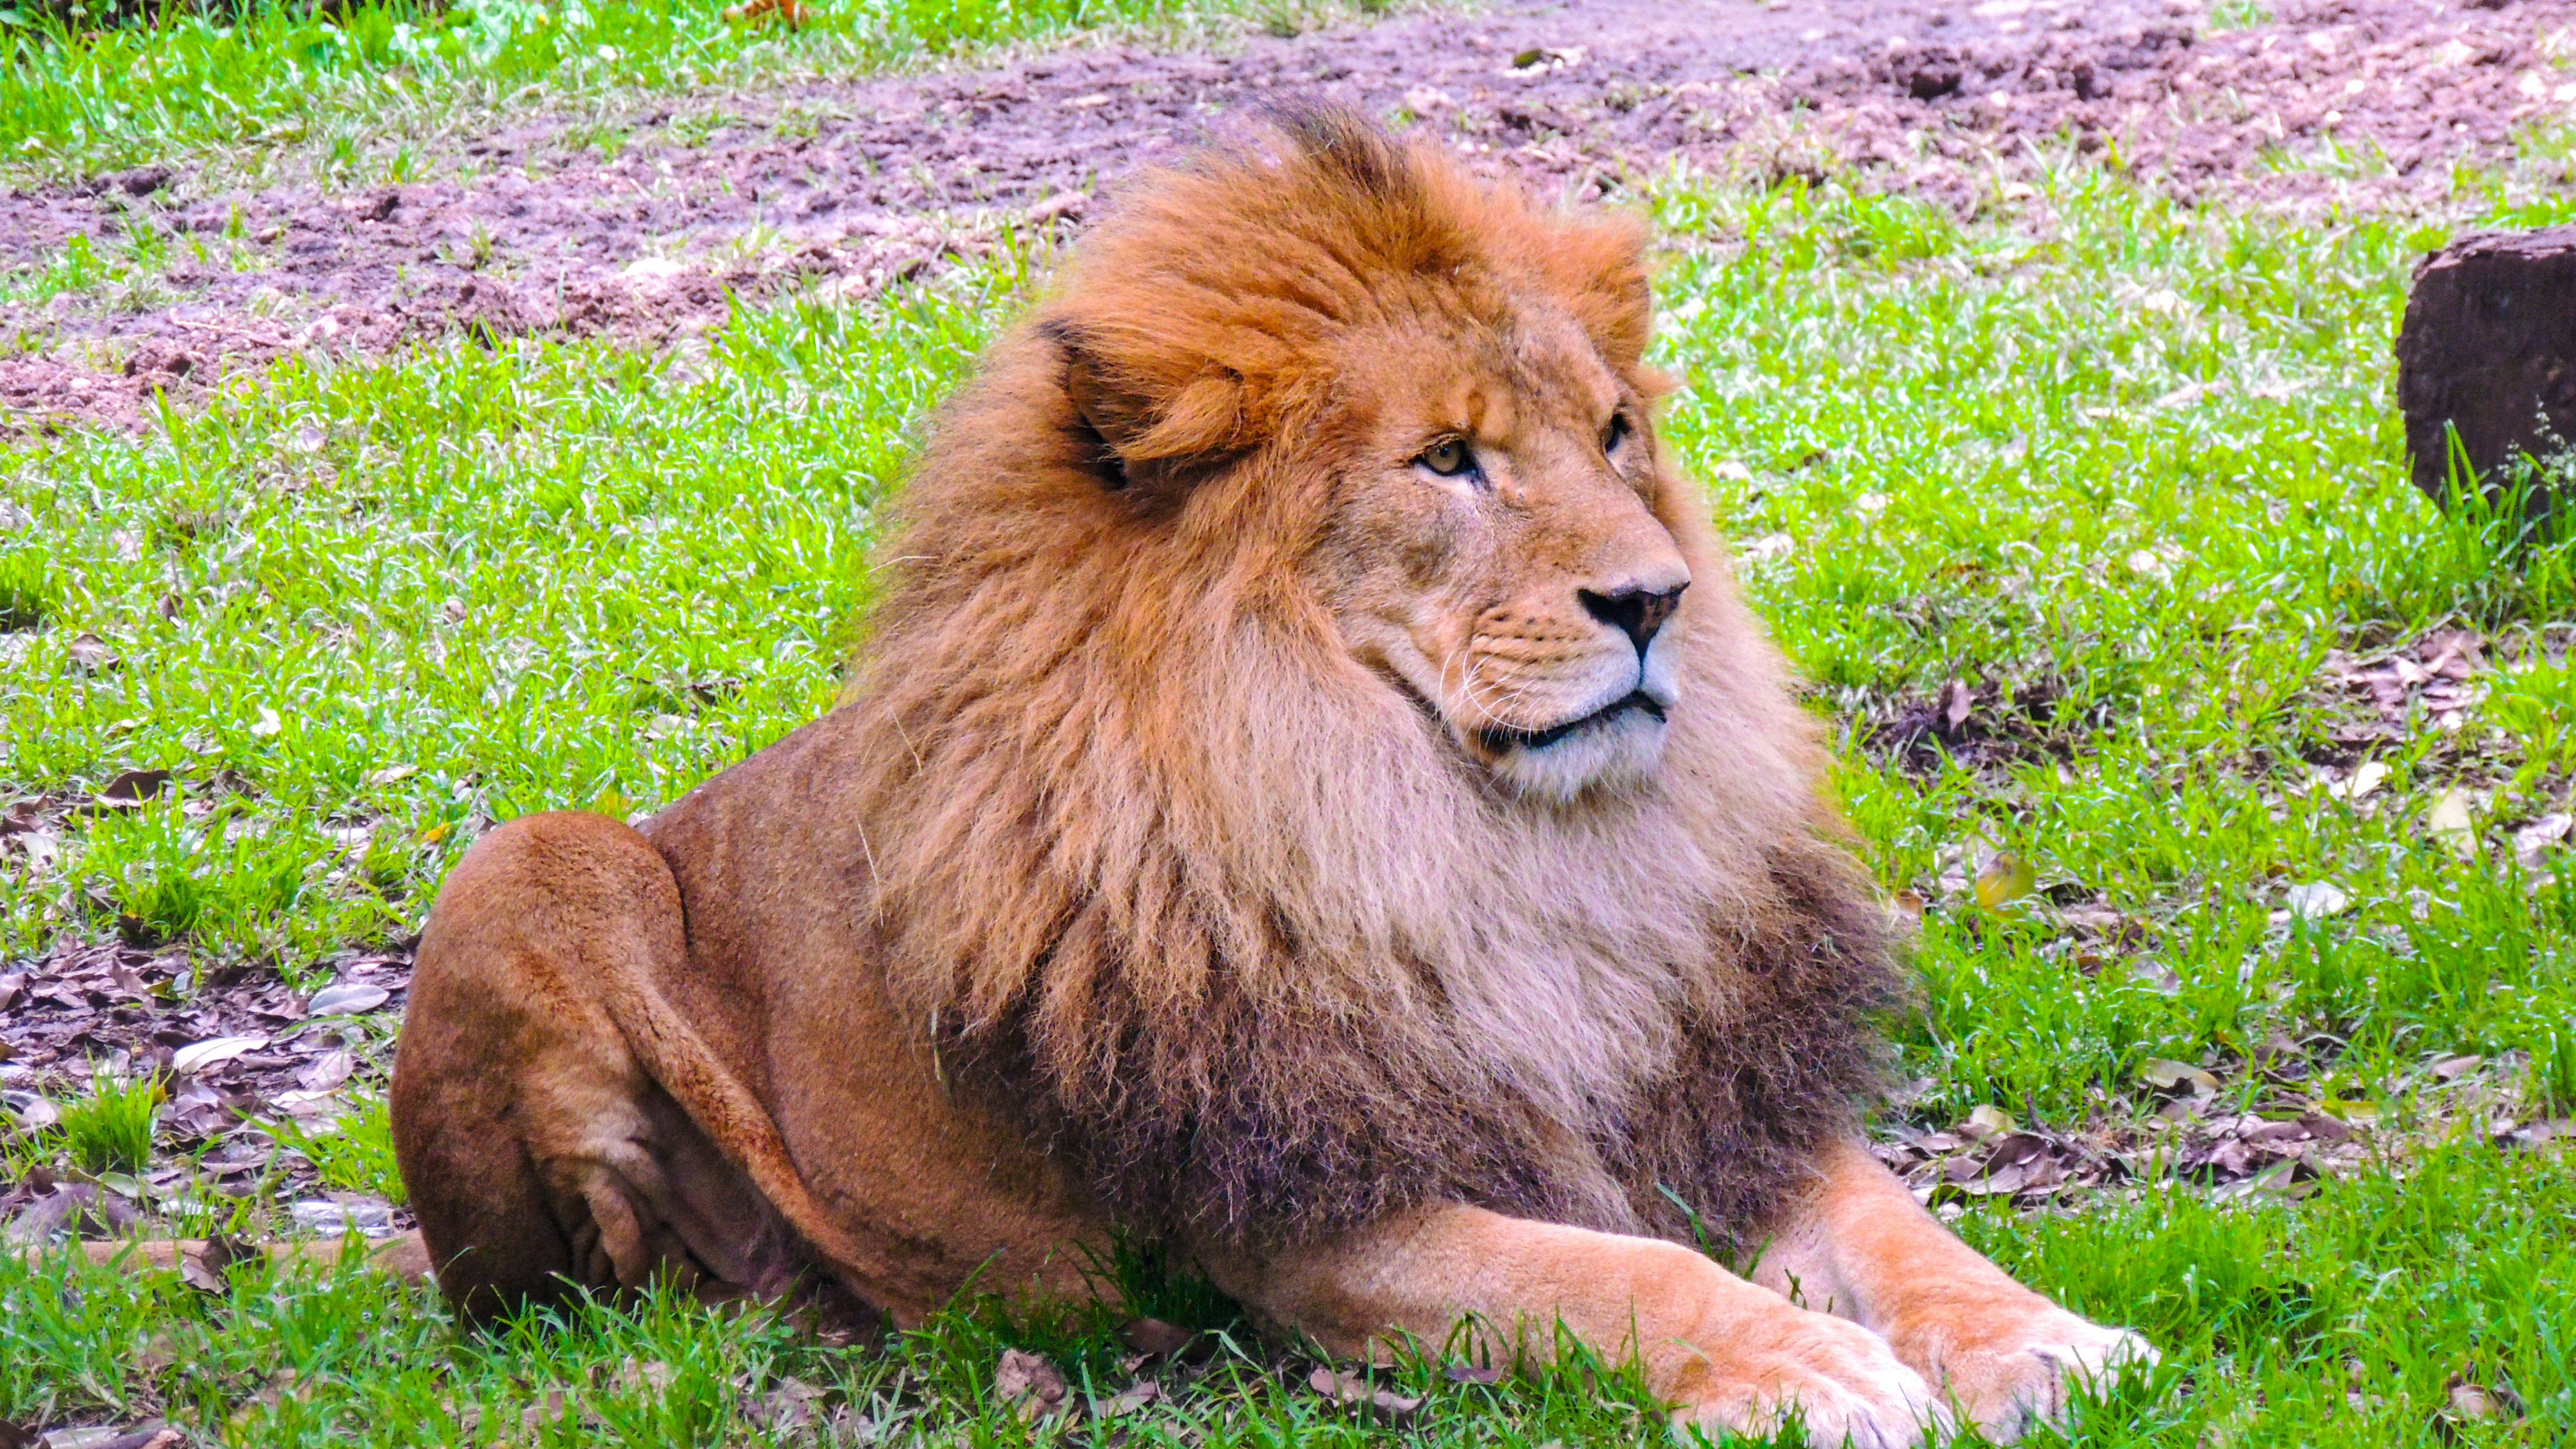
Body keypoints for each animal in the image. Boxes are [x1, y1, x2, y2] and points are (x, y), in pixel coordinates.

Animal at [389, 108, 2152, 1445]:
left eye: (1613, 434)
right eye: (1447, 461)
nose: (1657, 602)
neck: (1477, 845)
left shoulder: (1708, 1082)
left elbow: (1894, 1220)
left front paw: (2044, 1340)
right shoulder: (1310, 1222)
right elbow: (1614, 1276)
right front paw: (1806, 1372)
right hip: (534, 868)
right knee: (564, 1293)